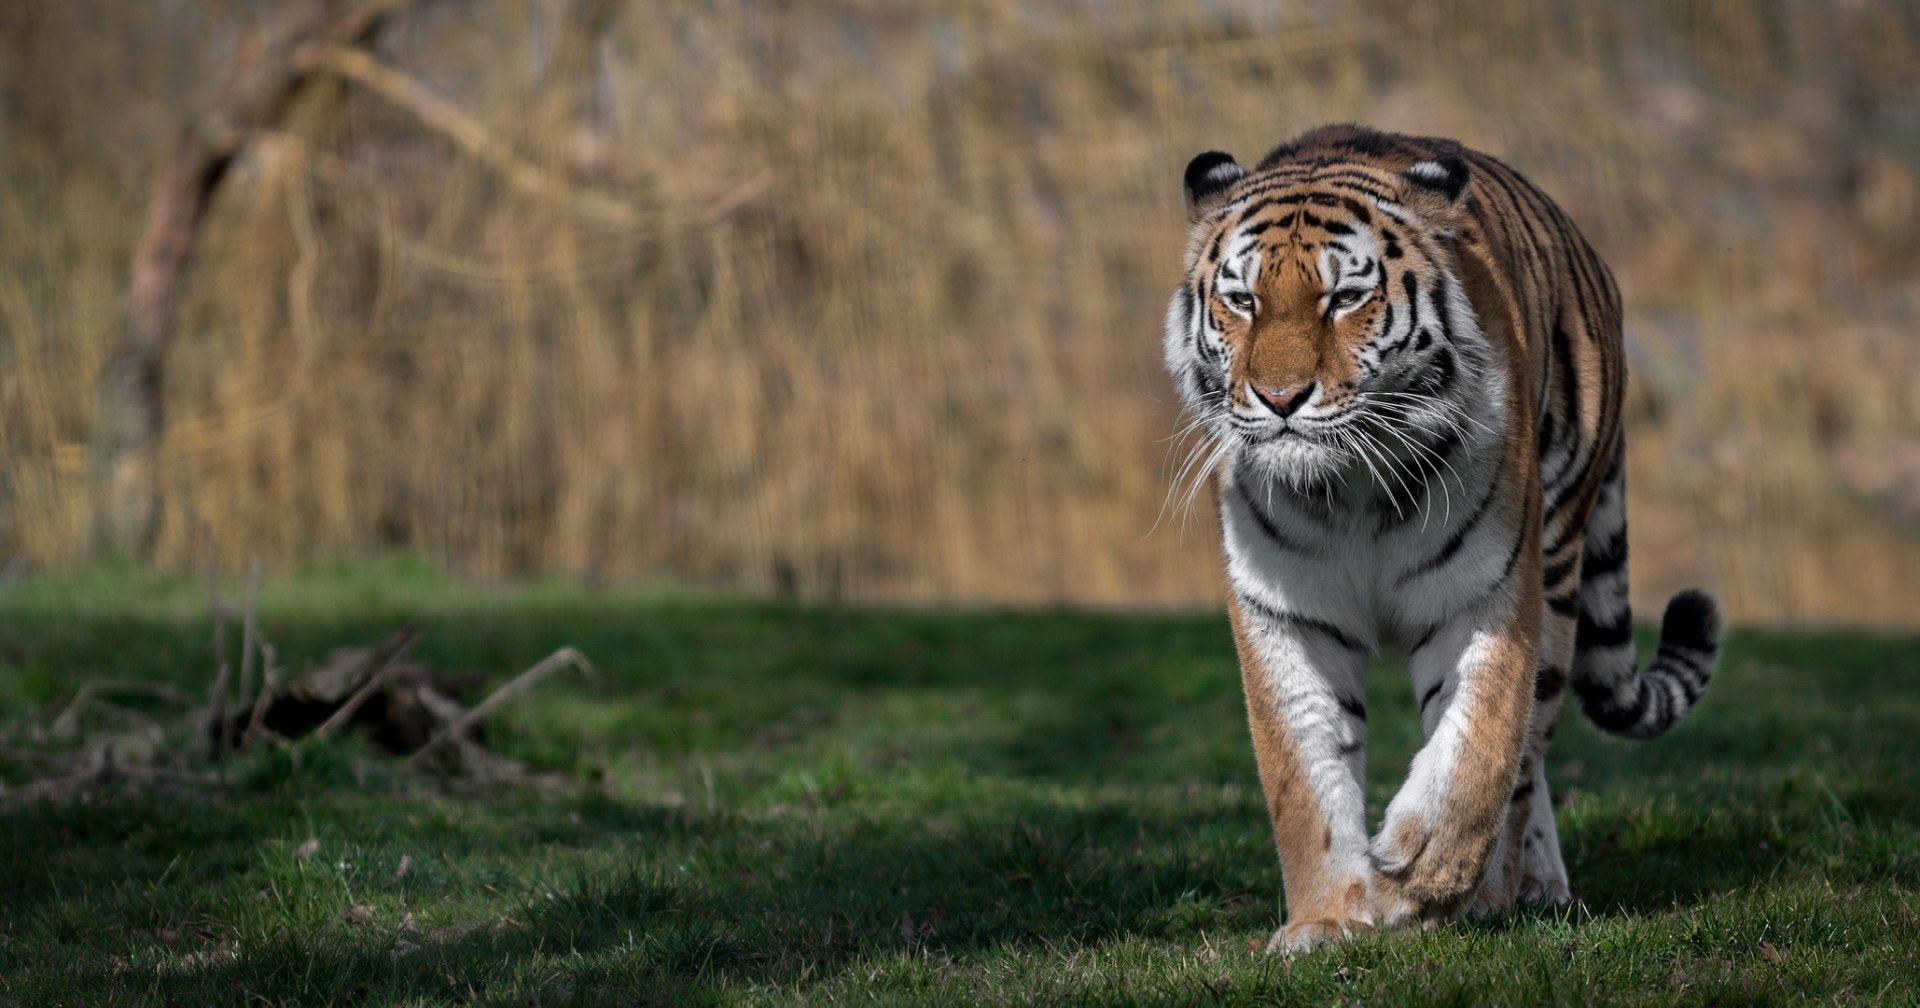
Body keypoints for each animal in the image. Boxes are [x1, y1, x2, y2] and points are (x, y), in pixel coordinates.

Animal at [1161, 124, 1721, 952]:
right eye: (1242, 300)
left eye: (1344, 298)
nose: (1279, 397)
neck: (1352, 491)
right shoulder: (1285, 611)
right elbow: (1302, 771)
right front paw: (1324, 918)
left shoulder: (1488, 593)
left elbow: (1478, 748)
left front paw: (1422, 877)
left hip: (1558, 566)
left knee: (1529, 754)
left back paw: (1510, 890)